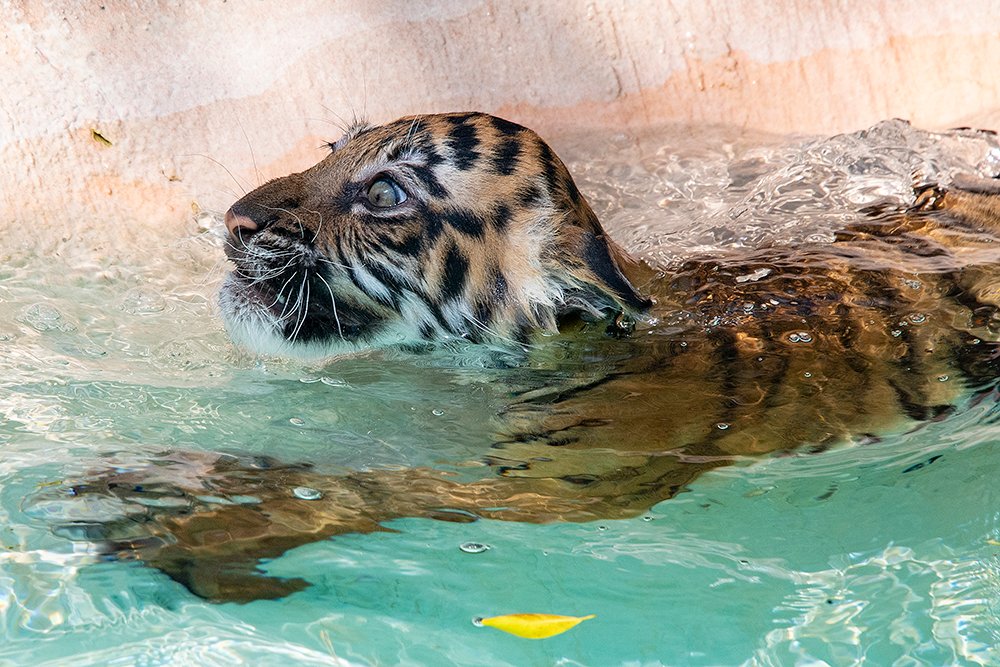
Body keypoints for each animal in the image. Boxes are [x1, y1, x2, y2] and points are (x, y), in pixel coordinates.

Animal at [53, 112, 1000, 603]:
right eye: (329, 152)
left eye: (385, 192)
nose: (234, 220)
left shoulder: (558, 483)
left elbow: (373, 485)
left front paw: (188, 513)